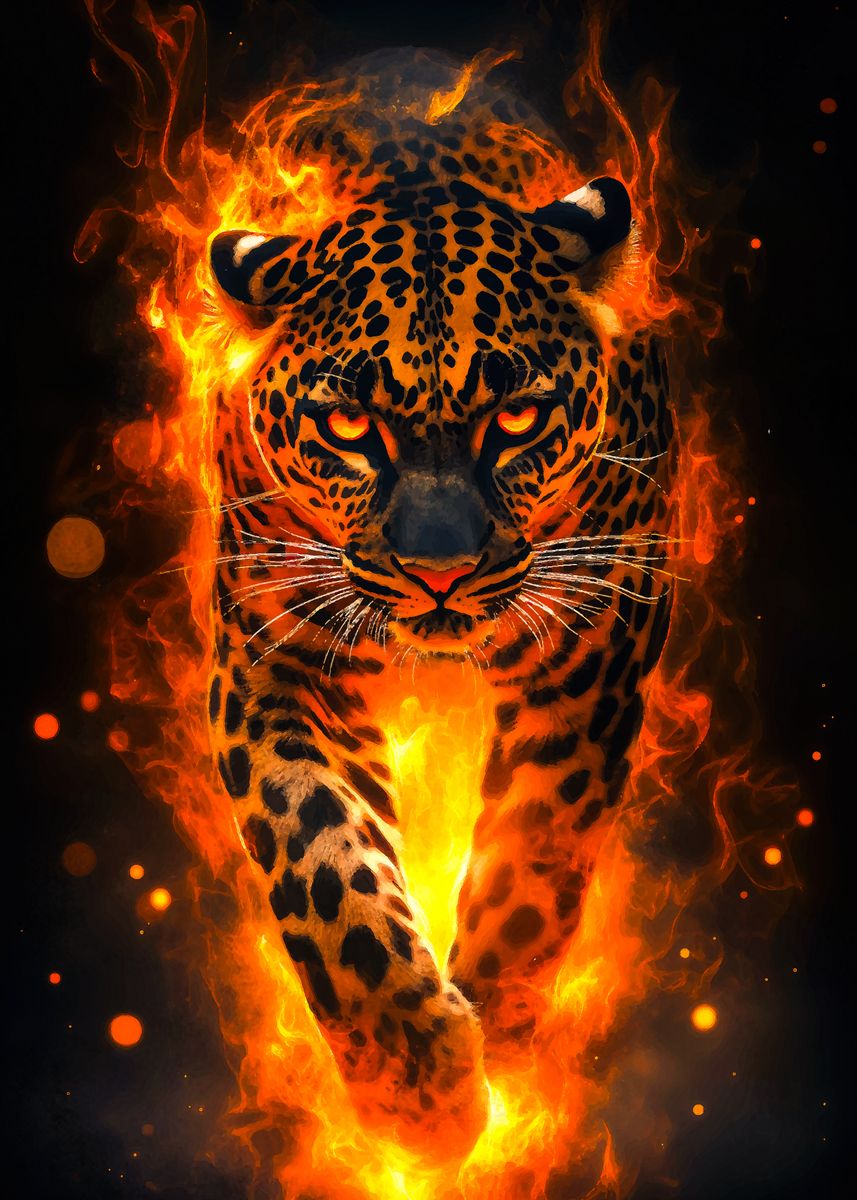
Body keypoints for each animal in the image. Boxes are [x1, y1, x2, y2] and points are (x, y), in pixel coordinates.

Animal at [206, 53, 674, 1157]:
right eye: (346, 425)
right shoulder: (273, 657)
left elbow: (532, 858)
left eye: (516, 417)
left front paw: (494, 1041)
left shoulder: (590, 650)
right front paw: (413, 1087)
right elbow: (319, 854)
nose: (439, 570)